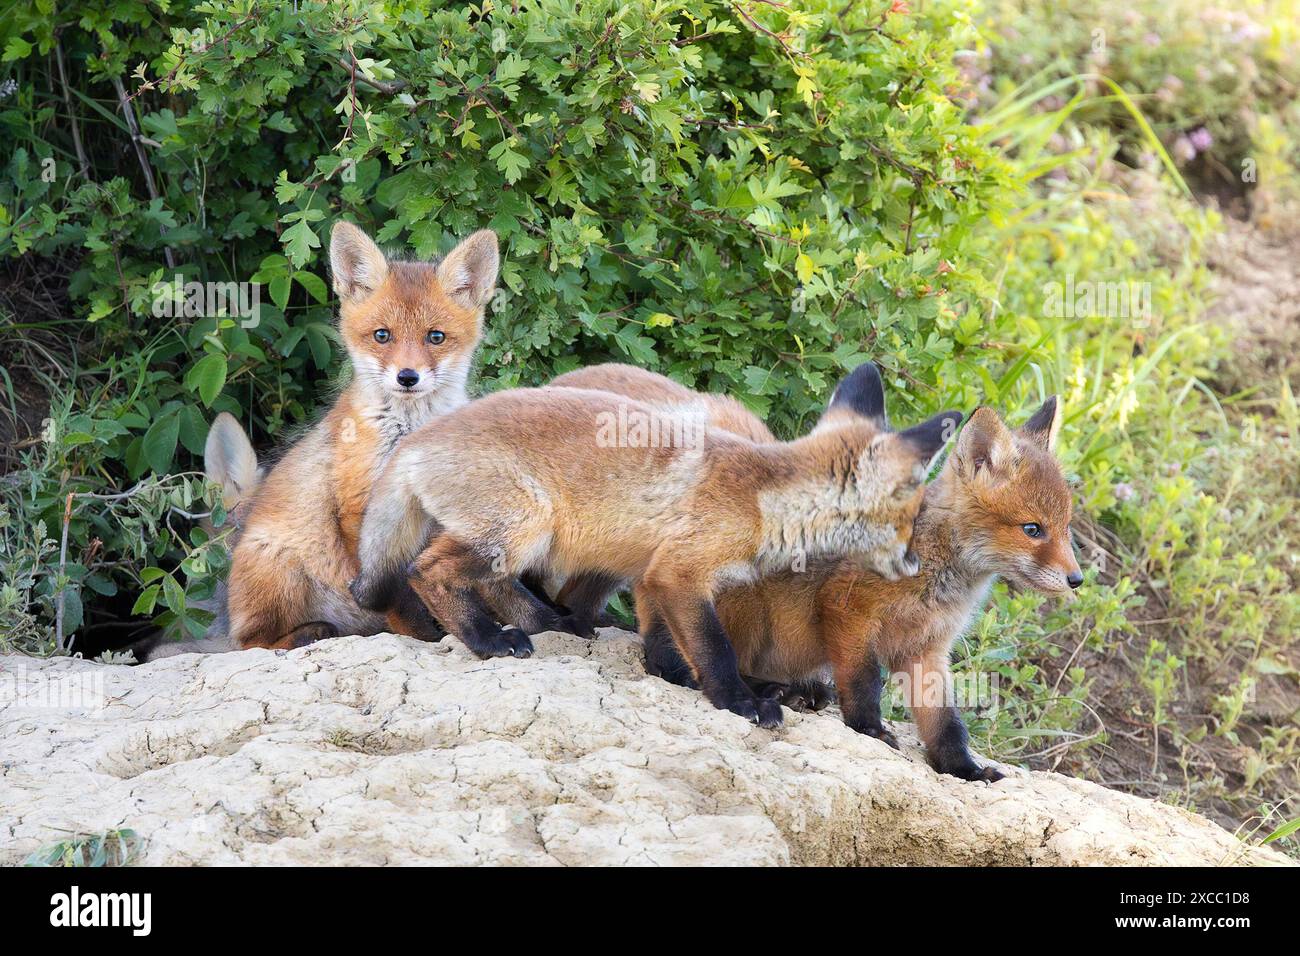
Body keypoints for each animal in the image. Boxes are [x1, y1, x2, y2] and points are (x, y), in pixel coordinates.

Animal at [216, 220, 500, 650]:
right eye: (382, 336)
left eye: (435, 337)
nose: (407, 377)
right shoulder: (359, 506)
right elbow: (392, 592)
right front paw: (420, 637)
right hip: (278, 564)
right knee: (252, 643)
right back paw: (307, 634)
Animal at [349, 361, 962, 729]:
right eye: (911, 522)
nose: (915, 564)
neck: (762, 497)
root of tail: (419, 439)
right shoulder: (679, 572)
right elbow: (714, 649)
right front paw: (739, 701)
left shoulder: (650, 574)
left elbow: (665, 646)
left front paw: (679, 677)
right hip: (522, 526)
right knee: (426, 571)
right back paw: (487, 639)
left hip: (528, 538)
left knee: (504, 587)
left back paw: (550, 625)